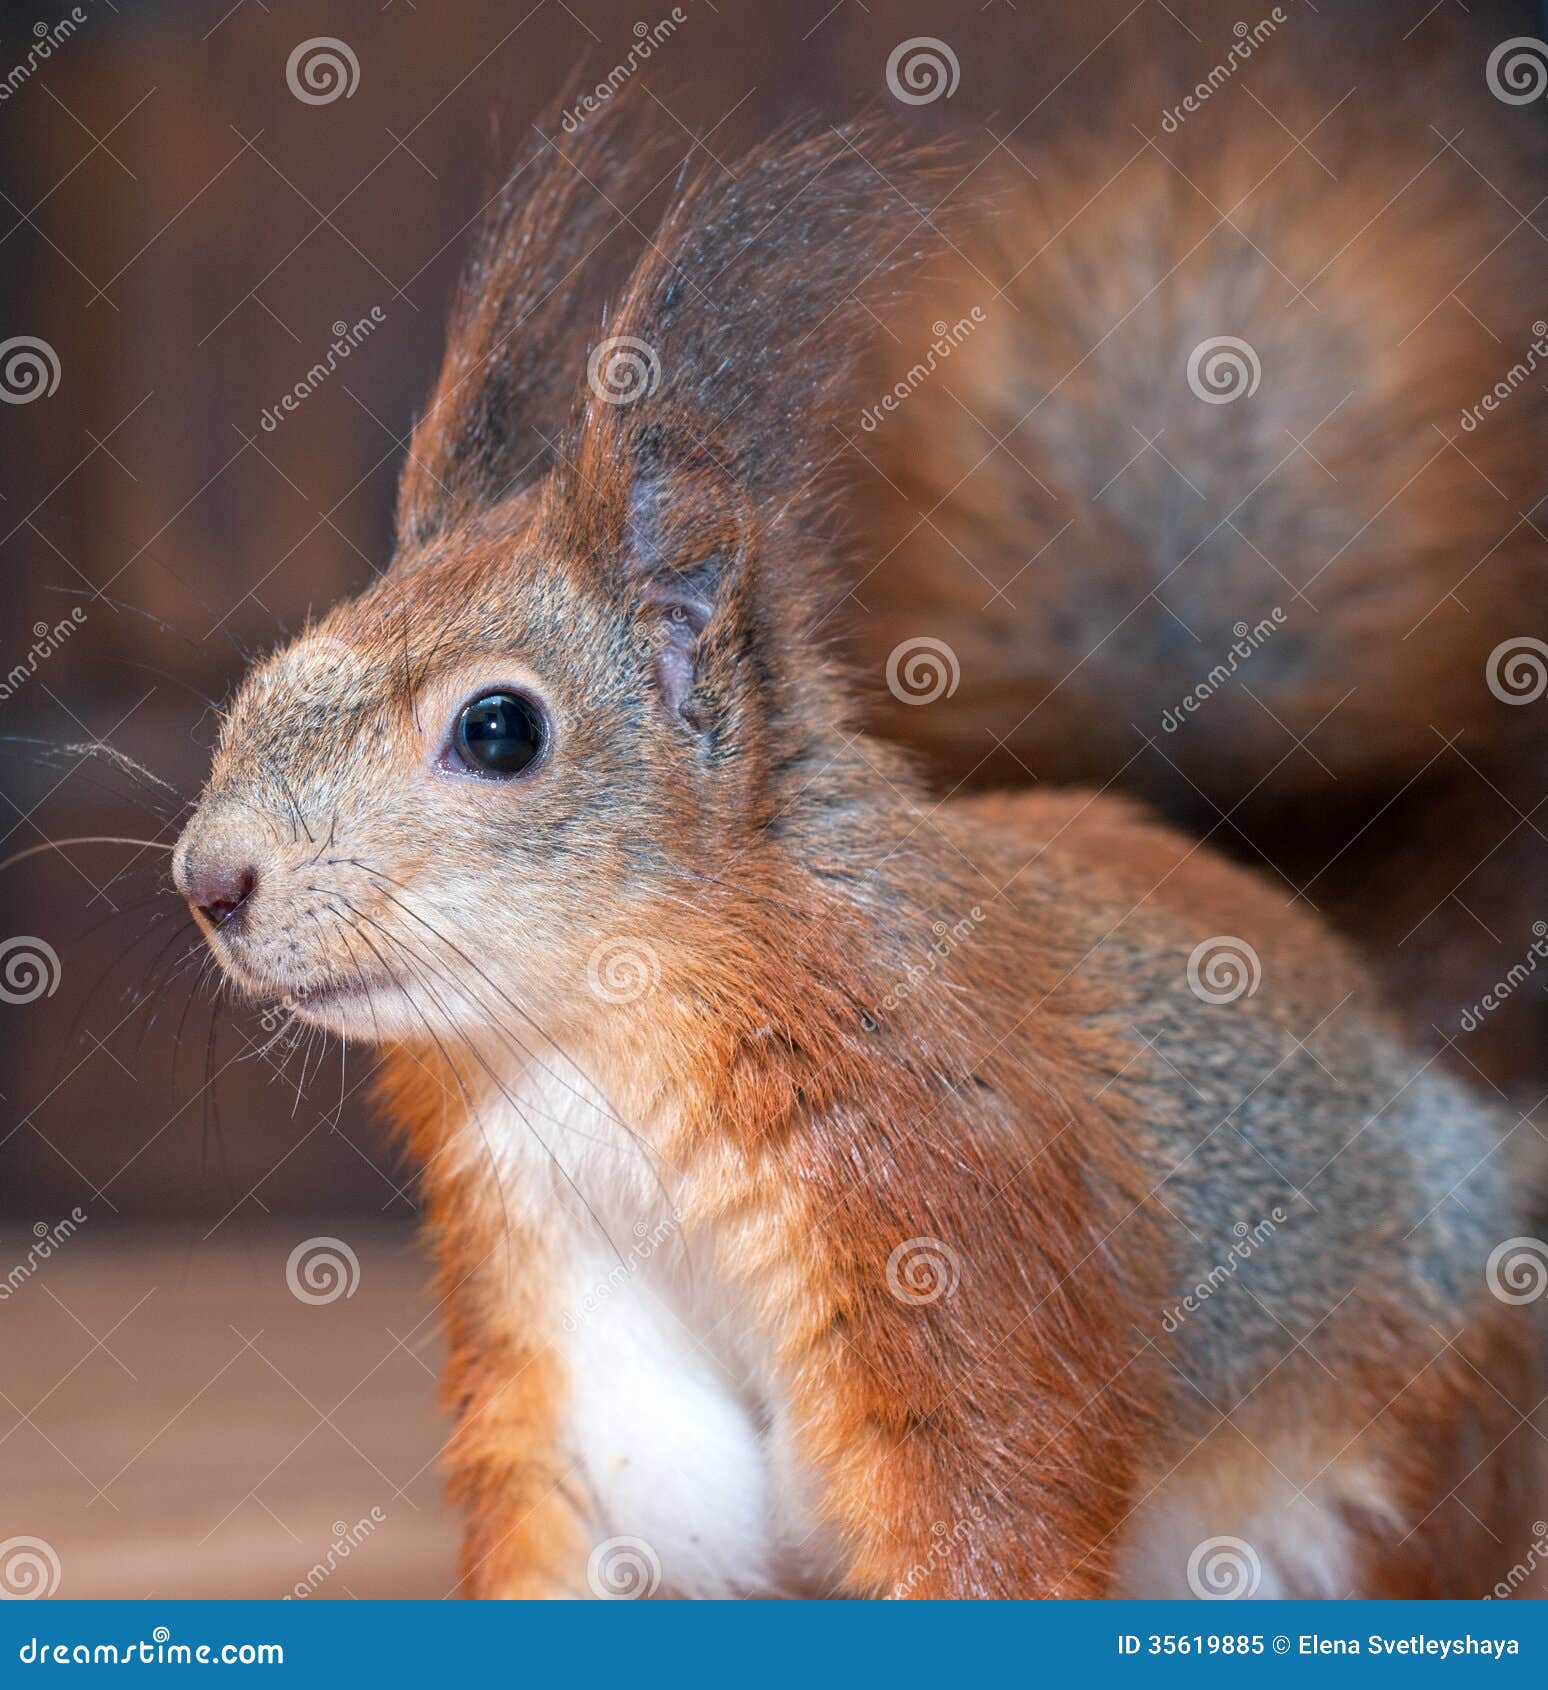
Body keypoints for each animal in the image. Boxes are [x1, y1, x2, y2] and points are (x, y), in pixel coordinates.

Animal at [173, 109, 1542, 1597]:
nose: (209, 881)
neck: (585, 1048)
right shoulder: (571, 1315)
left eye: (497, 728)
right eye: (270, 668)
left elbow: (990, 1494)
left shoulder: (948, 1203)